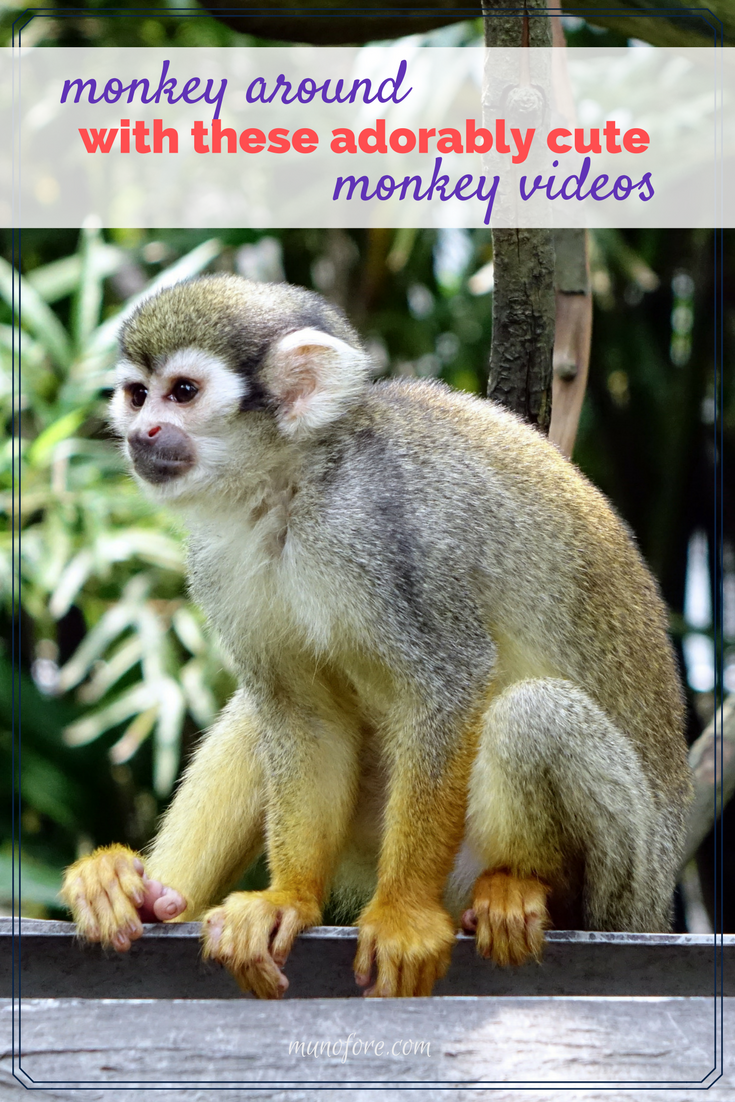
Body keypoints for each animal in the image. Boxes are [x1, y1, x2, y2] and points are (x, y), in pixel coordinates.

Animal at [61, 274, 692, 999]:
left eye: (183, 391)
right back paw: (146, 895)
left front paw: (402, 914)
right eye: (138, 394)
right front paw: (287, 899)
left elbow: (448, 683)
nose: (143, 430)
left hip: (624, 878)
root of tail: (656, 904)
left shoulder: (381, 529)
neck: (292, 487)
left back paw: (525, 889)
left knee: (533, 715)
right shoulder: (218, 560)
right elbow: (301, 714)